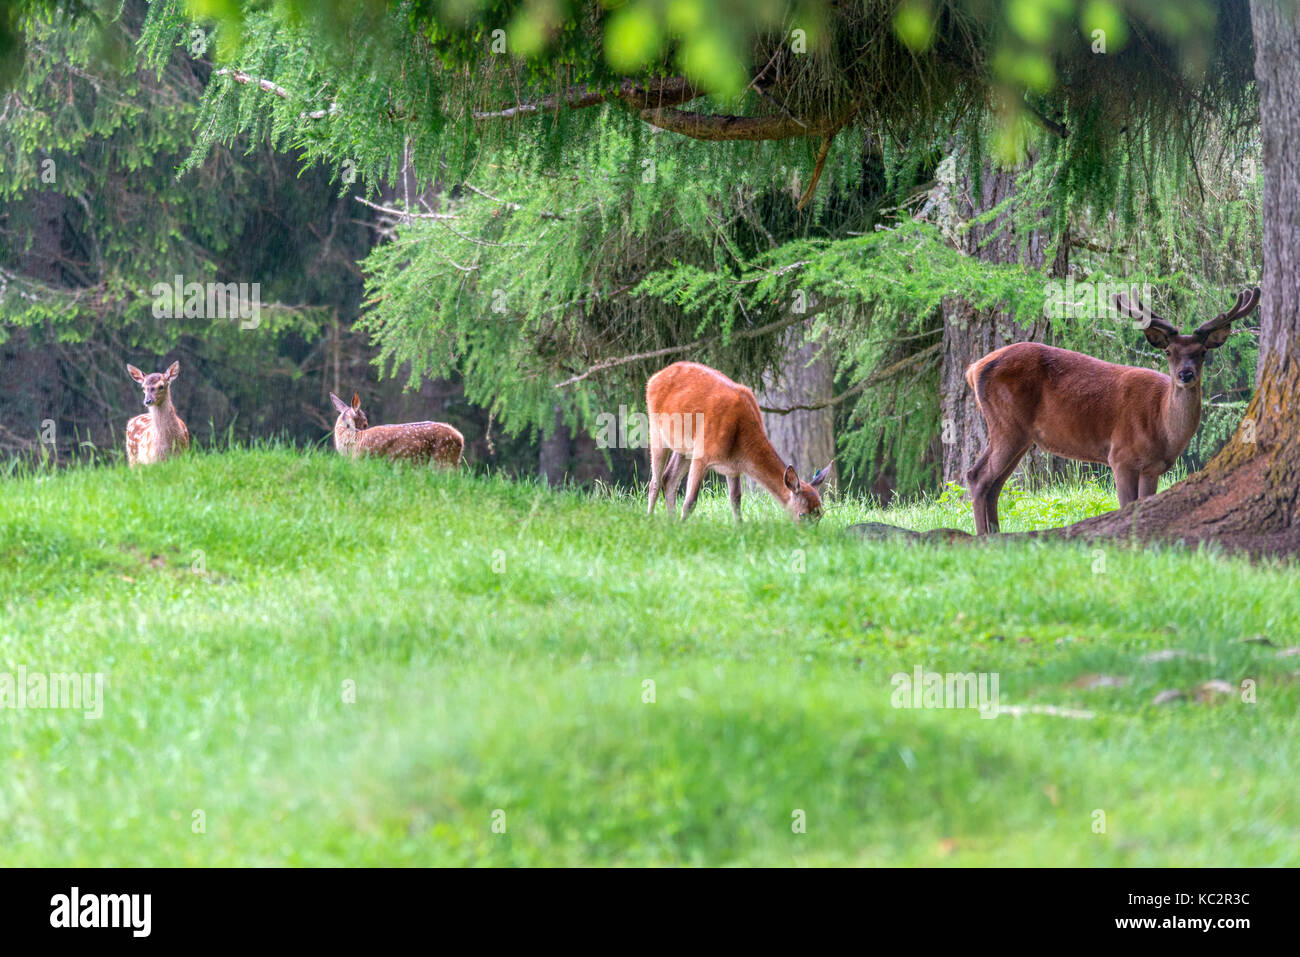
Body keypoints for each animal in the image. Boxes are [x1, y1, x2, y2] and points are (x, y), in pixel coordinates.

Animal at [645, 361, 832, 522]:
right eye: (802, 514)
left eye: (820, 514)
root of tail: (654, 377)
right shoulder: (702, 453)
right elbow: (690, 501)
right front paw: (683, 527)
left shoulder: (732, 467)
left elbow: (735, 500)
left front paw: (739, 527)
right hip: (655, 428)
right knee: (655, 482)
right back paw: (651, 520)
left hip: (683, 447)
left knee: (669, 478)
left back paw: (671, 521)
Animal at [964, 286, 1261, 534]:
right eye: (1168, 352)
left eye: (1202, 353)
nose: (1185, 374)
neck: (1162, 428)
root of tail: (974, 368)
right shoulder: (1120, 456)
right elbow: (1126, 505)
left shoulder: (1153, 467)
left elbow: (1143, 503)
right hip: (1007, 423)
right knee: (977, 476)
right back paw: (982, 536)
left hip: (1021, 435)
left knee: (995, 484)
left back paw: (994, 534)